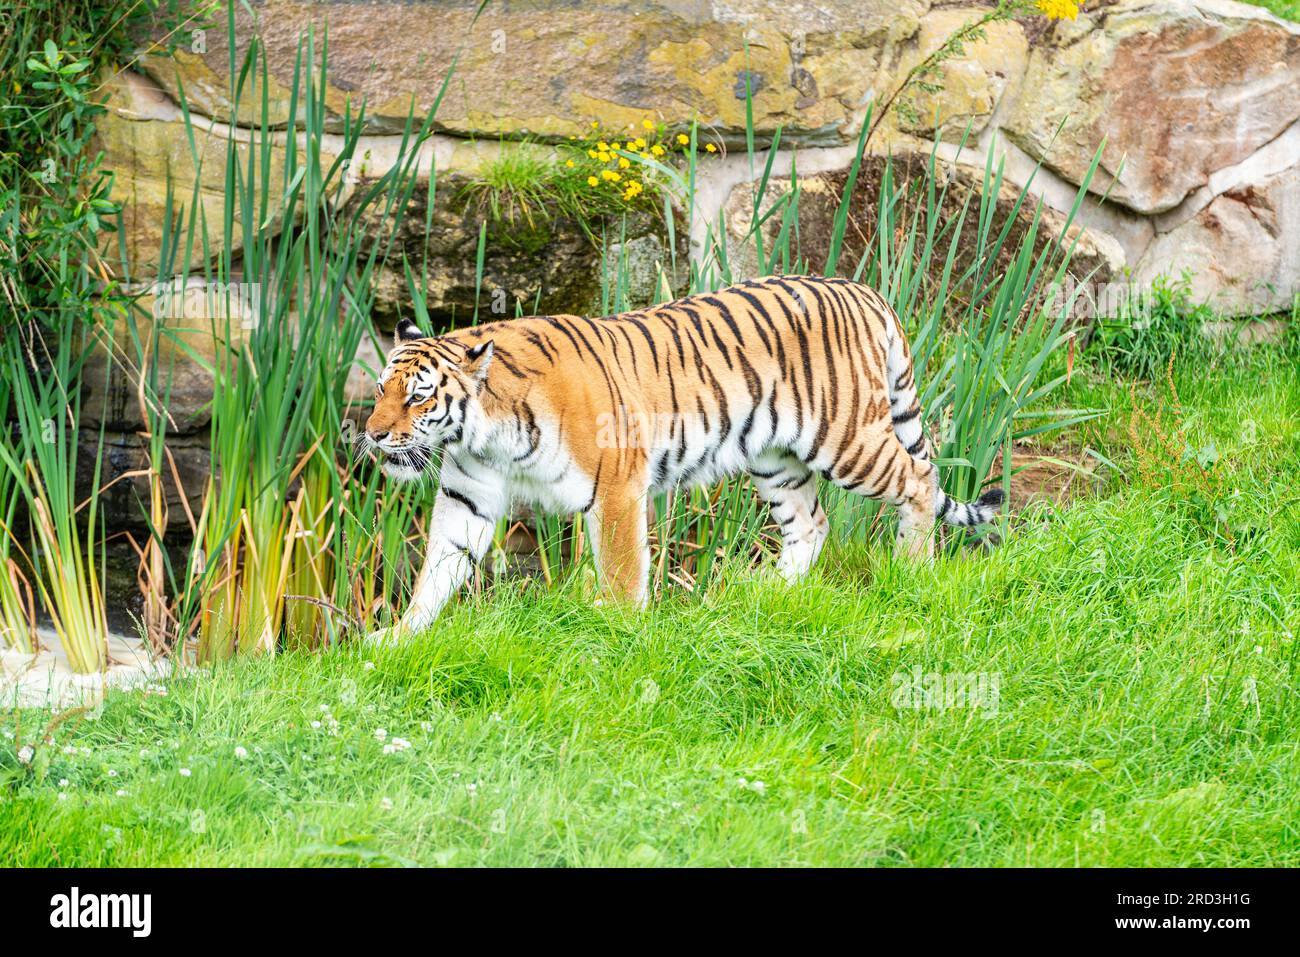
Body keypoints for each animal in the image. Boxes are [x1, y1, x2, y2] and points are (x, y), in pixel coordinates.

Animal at [363, 274, 1003, 639]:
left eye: (418, 396)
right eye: (380, 389)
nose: (371, 435)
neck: (484, 433)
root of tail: (863, 290)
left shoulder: (616, 488)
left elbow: (623, 572)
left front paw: (619, 637)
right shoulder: (466, 496)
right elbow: (436, 572)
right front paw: (395, 640)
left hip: (846, 437)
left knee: (920, 477)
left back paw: (913, 569)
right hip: (774, 456)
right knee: (812, 522)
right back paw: (768, 593)